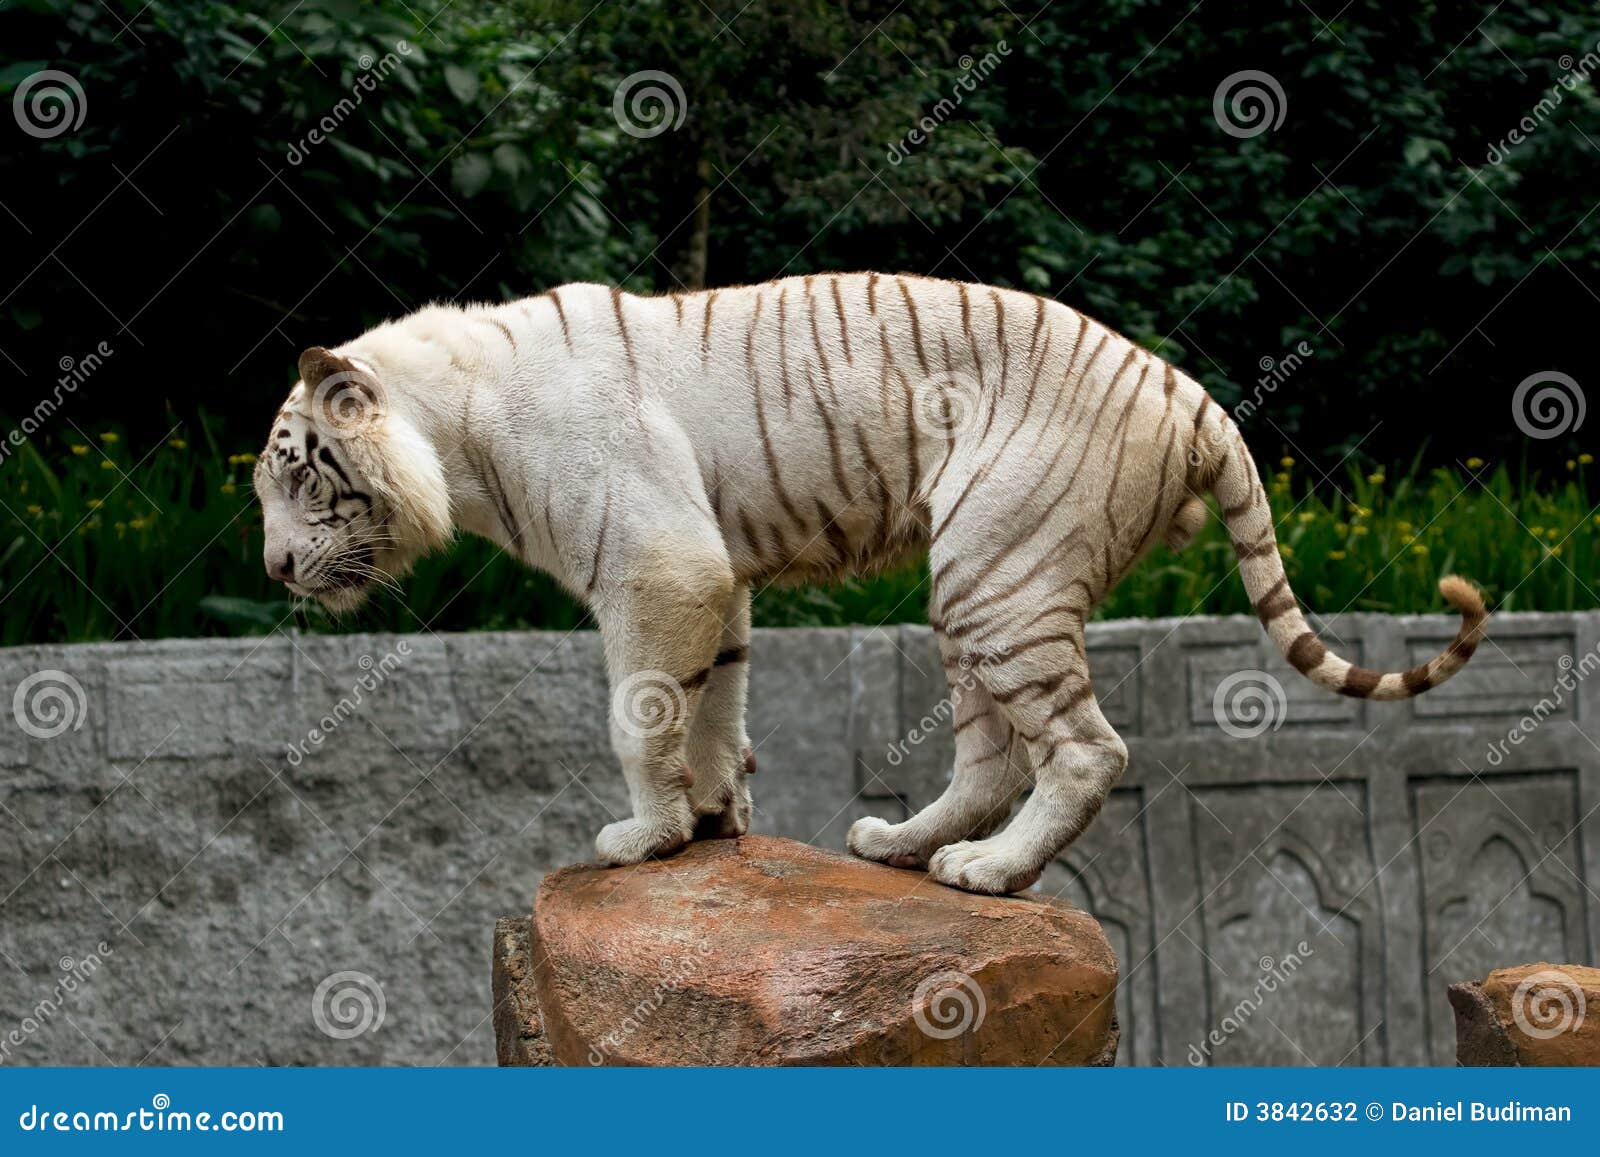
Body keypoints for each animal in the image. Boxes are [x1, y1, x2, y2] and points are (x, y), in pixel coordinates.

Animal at [254, 273, 1487, 895]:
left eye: (295, 472)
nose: (269, 566)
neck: (455, 436)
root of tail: (1193, 395)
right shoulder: (716, 579)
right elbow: (715, 707)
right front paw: (713, 818)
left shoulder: (658, 564)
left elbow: (637, 714)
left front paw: (643, 835)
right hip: (980, 587)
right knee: (994, 755)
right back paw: (905, 847)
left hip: (996, 571)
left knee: (1087, 750)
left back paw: (989, 871)